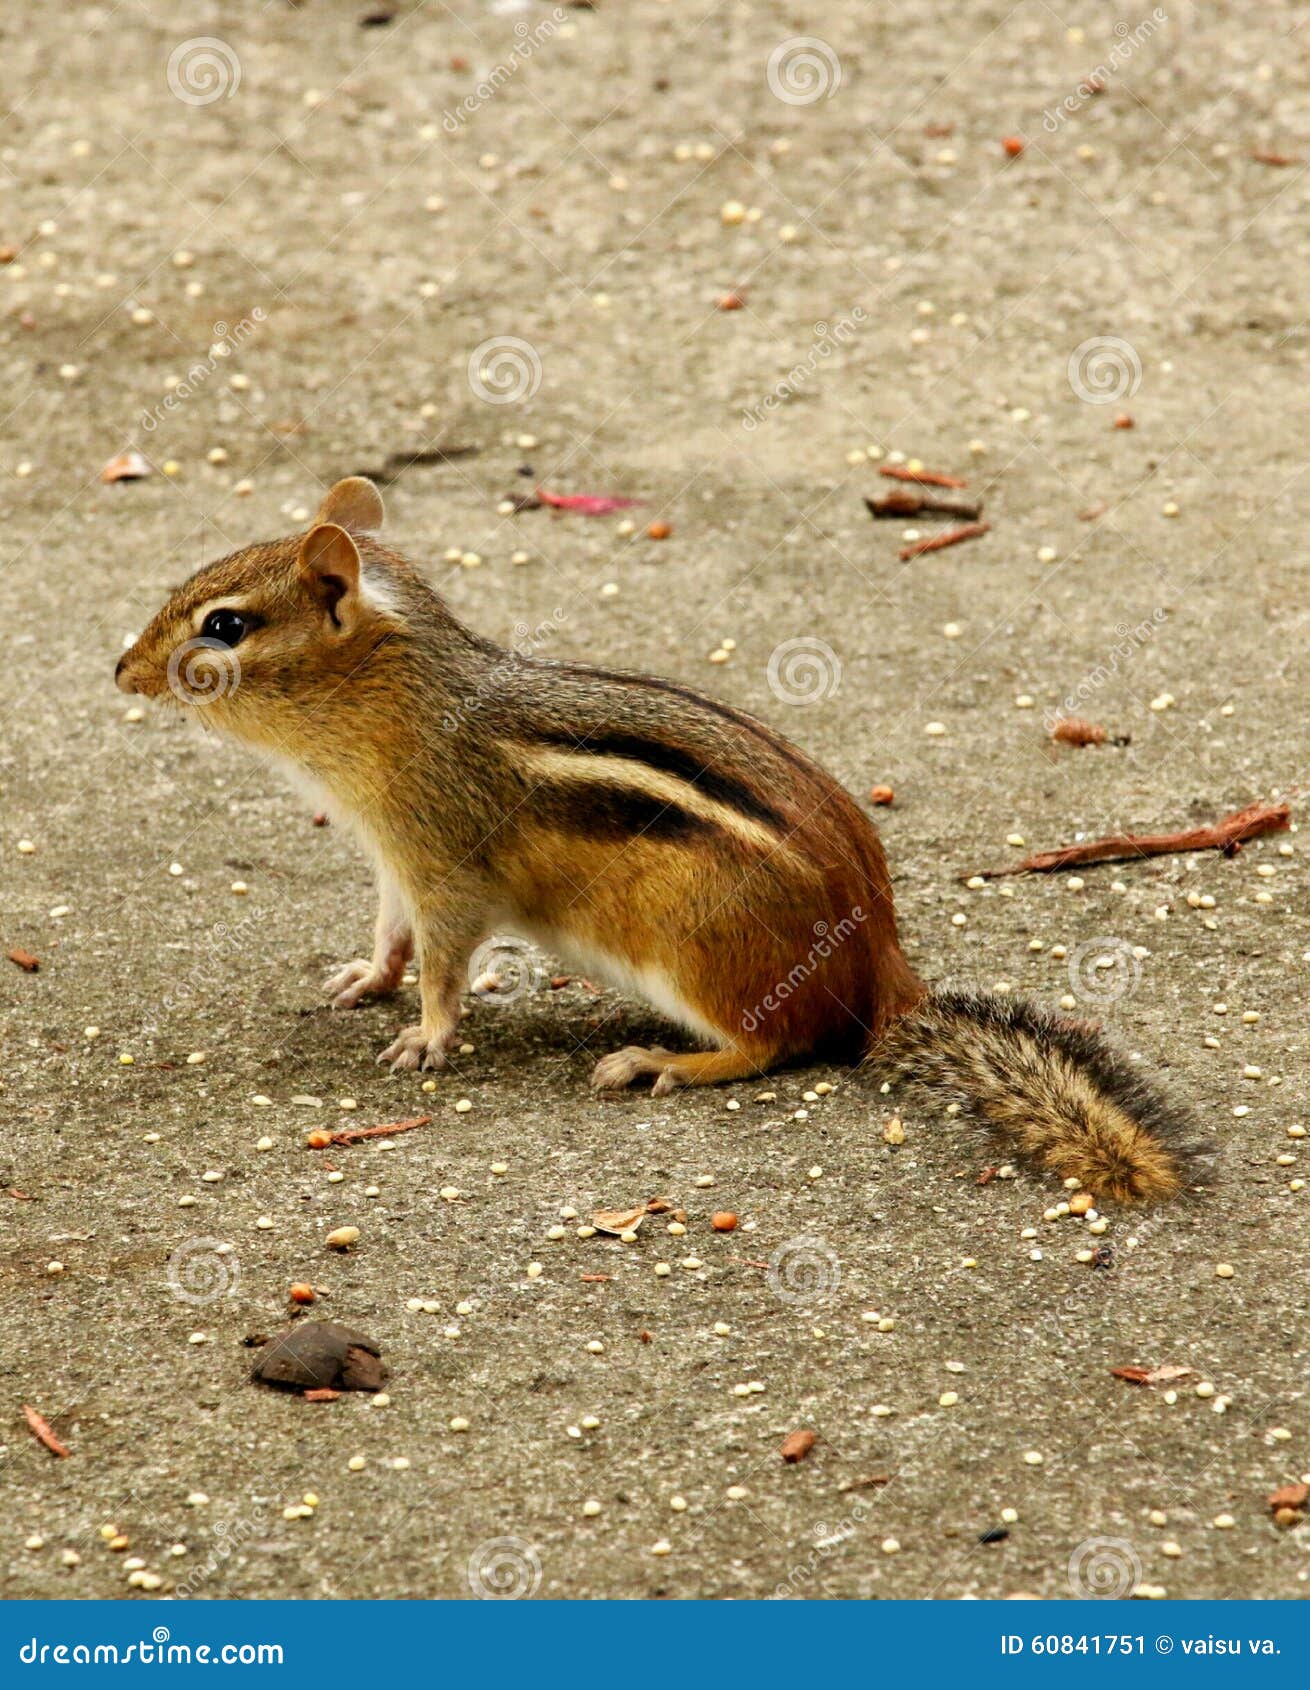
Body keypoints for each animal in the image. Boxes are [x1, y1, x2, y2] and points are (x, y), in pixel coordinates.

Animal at [116, 477, 1212, 1205]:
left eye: (224, 626)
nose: (120, 669)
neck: (399, 700)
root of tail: (881, 971)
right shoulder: (395, 861)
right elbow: (392, 937)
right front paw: (364, 978)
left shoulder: (444, 865)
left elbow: (446, 963)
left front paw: (426, 1035)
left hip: (695, 955)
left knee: (776, 1045)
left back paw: (661, 1063)